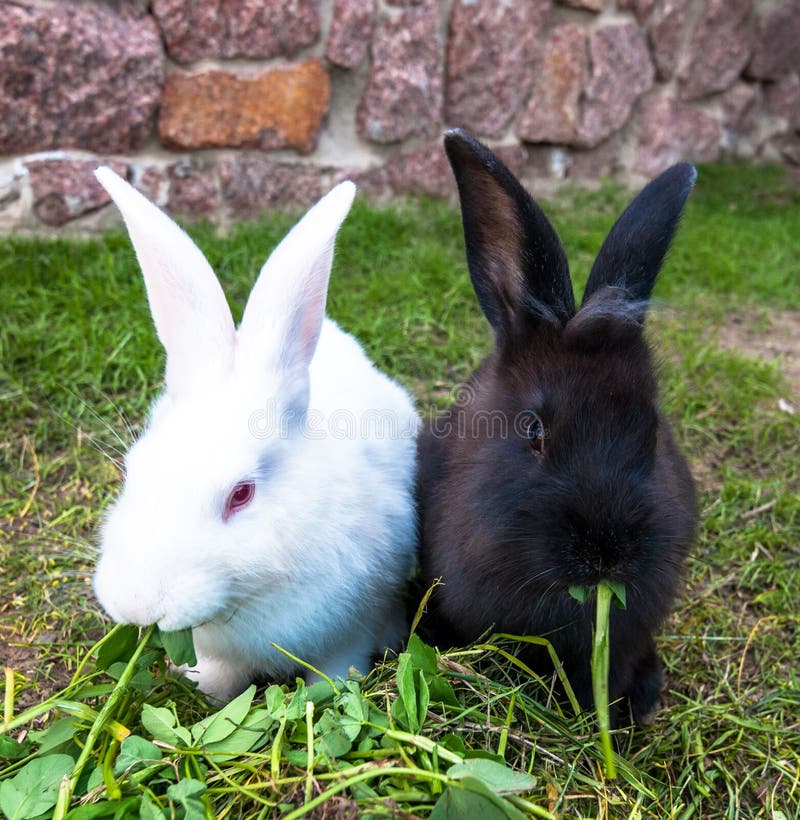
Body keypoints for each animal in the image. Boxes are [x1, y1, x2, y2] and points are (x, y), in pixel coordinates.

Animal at [92, 168, 419, 702]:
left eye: (241, 494)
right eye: (132, 474)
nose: (139, 604)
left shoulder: (345, 633)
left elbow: (334, 671)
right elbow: (219, 678)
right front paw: (205, 691)